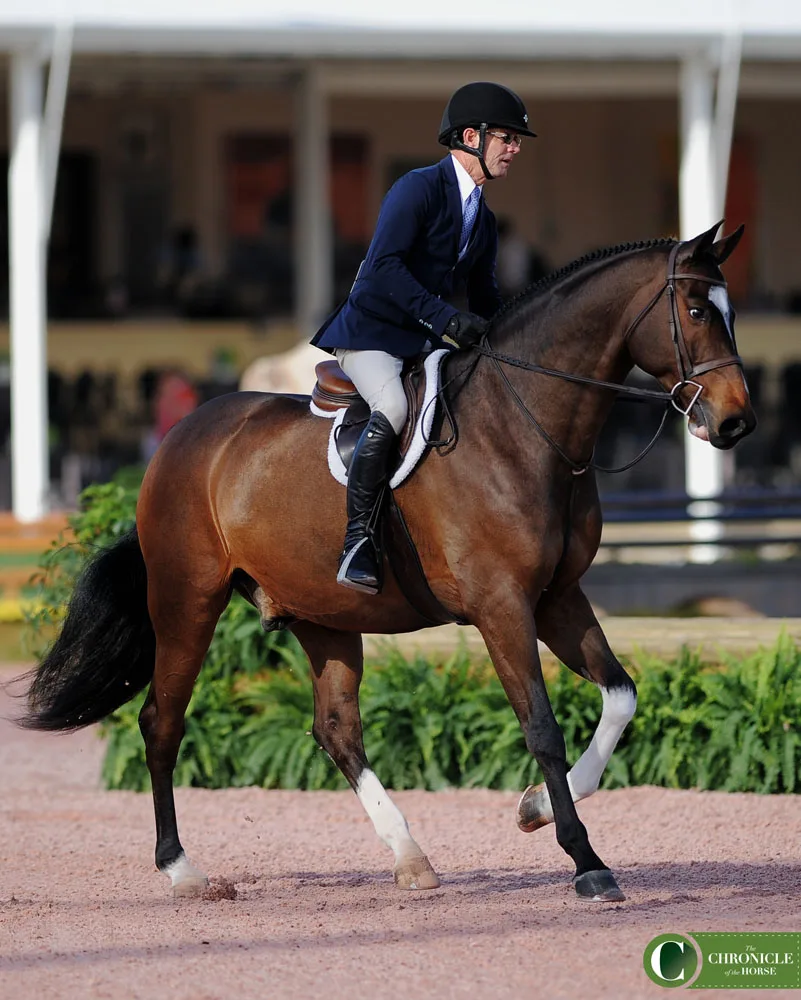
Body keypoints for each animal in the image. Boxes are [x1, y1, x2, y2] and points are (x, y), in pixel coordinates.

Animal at [20, 220, 755, 903]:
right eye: (696, 311)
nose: (734, 424)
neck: (525, 427)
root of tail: (178, 440)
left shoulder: (557, 597)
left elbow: (620, 696)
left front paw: (533, 808)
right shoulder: (501, 605)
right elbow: (541, 726)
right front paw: (586, 860)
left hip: (322, 614)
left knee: (336, 730)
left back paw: (410, 857)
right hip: (187, 600)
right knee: (162, 721)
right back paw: (182, 868)